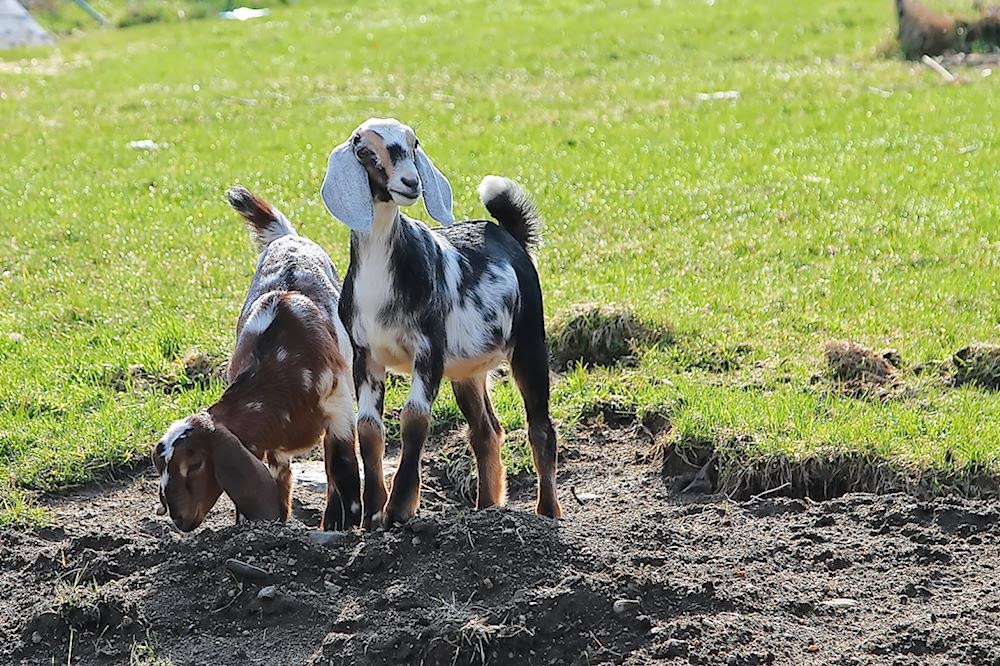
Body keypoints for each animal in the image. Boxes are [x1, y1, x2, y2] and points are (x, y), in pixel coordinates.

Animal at [151, 186, 360, 532]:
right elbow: (279, 487)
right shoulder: (271, 446)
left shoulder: (340, 410)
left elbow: (343, 473)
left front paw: (344, 526)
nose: (179, 519)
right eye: (159, 466)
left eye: (194, 464)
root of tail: (288, 237)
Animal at [320, 117, 562, 528]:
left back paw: (548, 513)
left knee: (540, 428)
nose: (410, 182)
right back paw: (486, 508)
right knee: (485, 431)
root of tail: (507, 234)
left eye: (414, 143)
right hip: (467, 369)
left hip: (529, 342)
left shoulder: (428, 349)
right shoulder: (365, 355)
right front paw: (373, 513)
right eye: (363, 150)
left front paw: (399, 508)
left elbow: (415, 419)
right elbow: (369, 428)